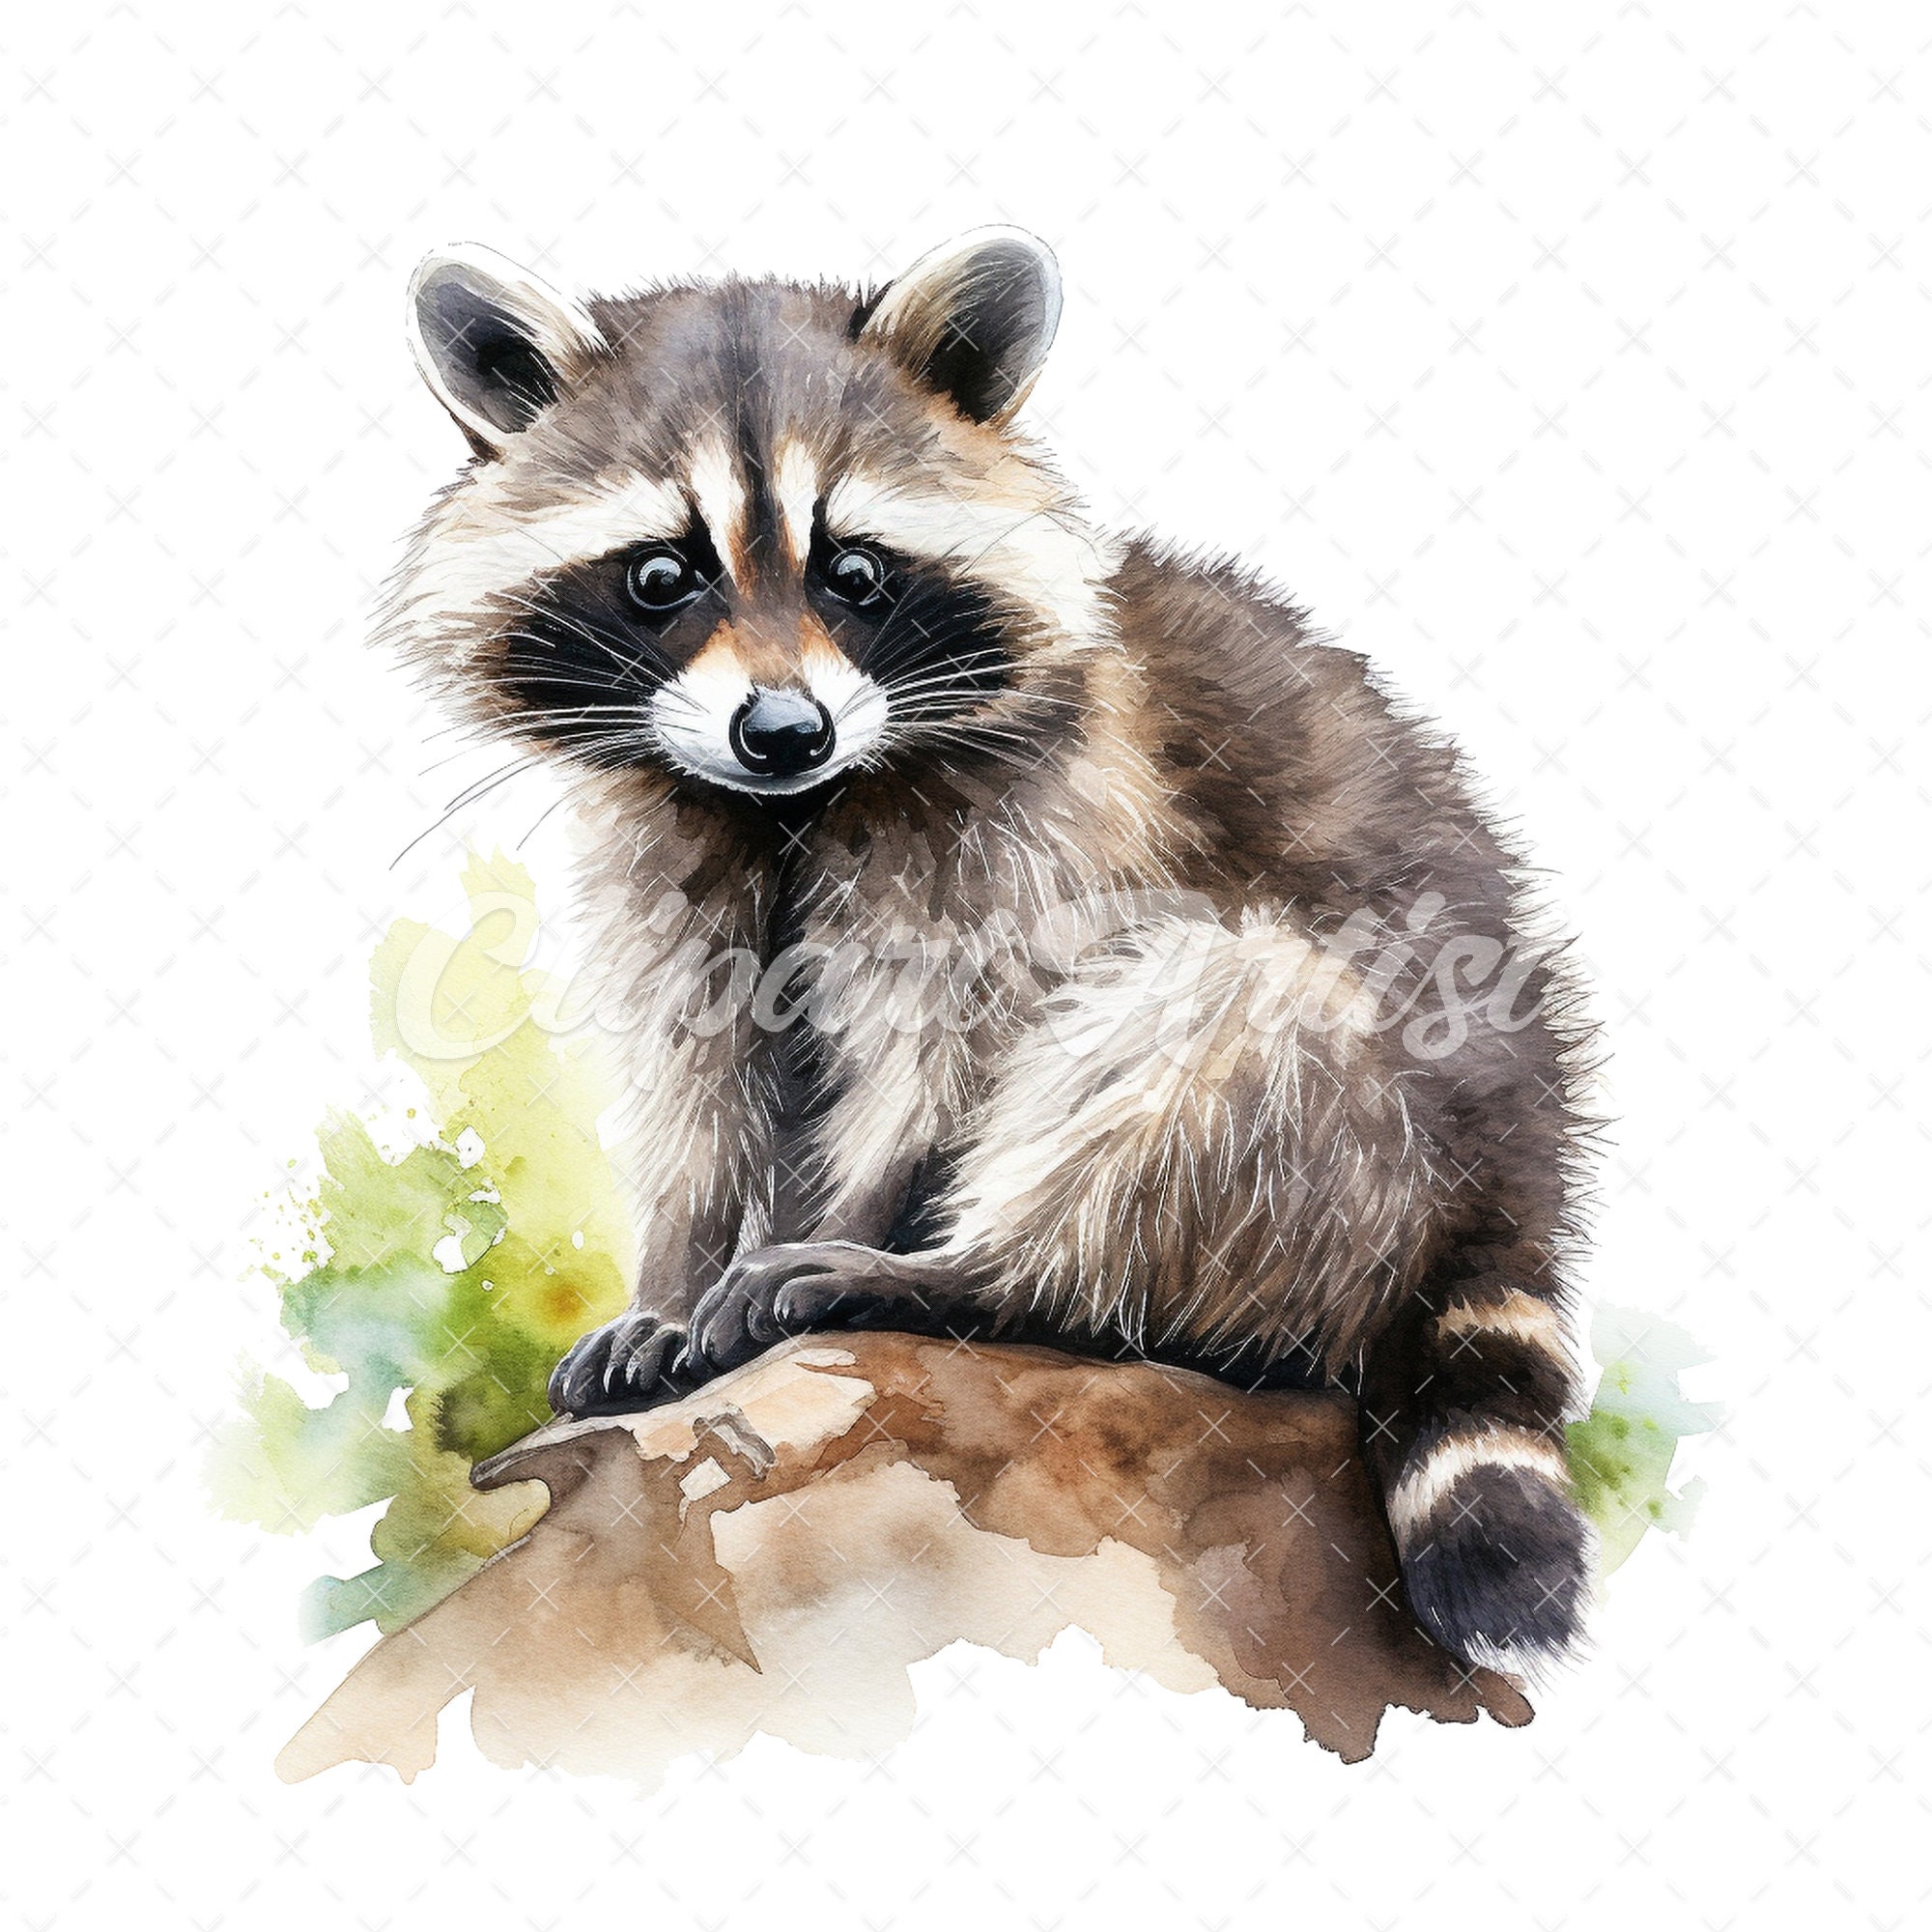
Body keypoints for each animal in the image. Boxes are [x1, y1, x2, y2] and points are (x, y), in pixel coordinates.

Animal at [384, 228, 1598, 1674]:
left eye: (855, 572)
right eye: (660, 576)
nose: (780, 731)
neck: (790, 807)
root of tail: (1513, 1174)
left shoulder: (1050, 810)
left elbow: (950, 1047)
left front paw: (840, 1228)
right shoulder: (671, 836)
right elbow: (700, 1074)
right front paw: (675, 1277)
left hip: (1374, 1126)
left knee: (1220, 1023)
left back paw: (976, 1275)